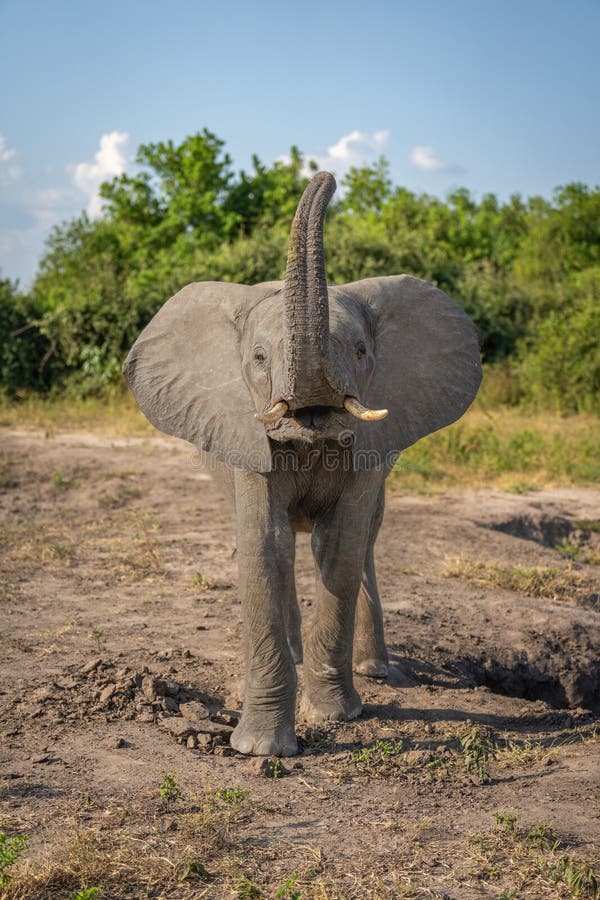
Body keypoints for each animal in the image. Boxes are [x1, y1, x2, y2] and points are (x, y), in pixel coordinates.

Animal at [123, 171, 482, 756]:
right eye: (259, 358)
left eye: (361, 350)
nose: (326, 178)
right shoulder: (247, 441)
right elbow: (265, 546)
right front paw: (260, 749)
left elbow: (340, 547)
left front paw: (338, 715)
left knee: (367, 541)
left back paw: (374, 671)